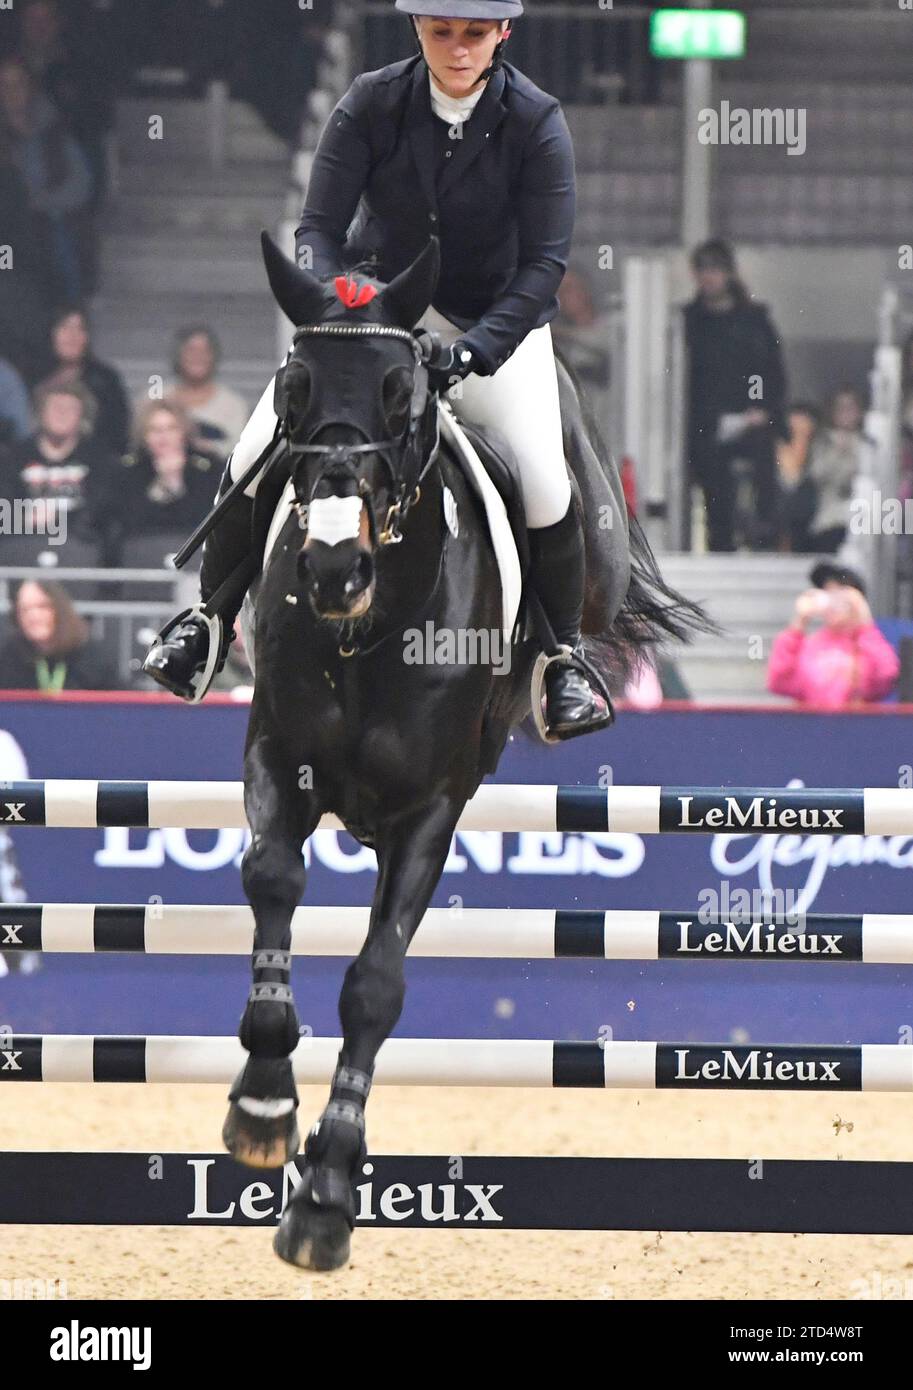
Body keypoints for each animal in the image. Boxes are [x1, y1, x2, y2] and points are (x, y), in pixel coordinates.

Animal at [222, 231, 705, 1271]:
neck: (369, 630)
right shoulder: (276, 758)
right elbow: (274, 880)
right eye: (292, 388)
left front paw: (324, 1200)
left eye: (403, 392)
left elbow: (374, 987)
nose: (333, 567)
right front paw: (265, 1105)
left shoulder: (428, 812)